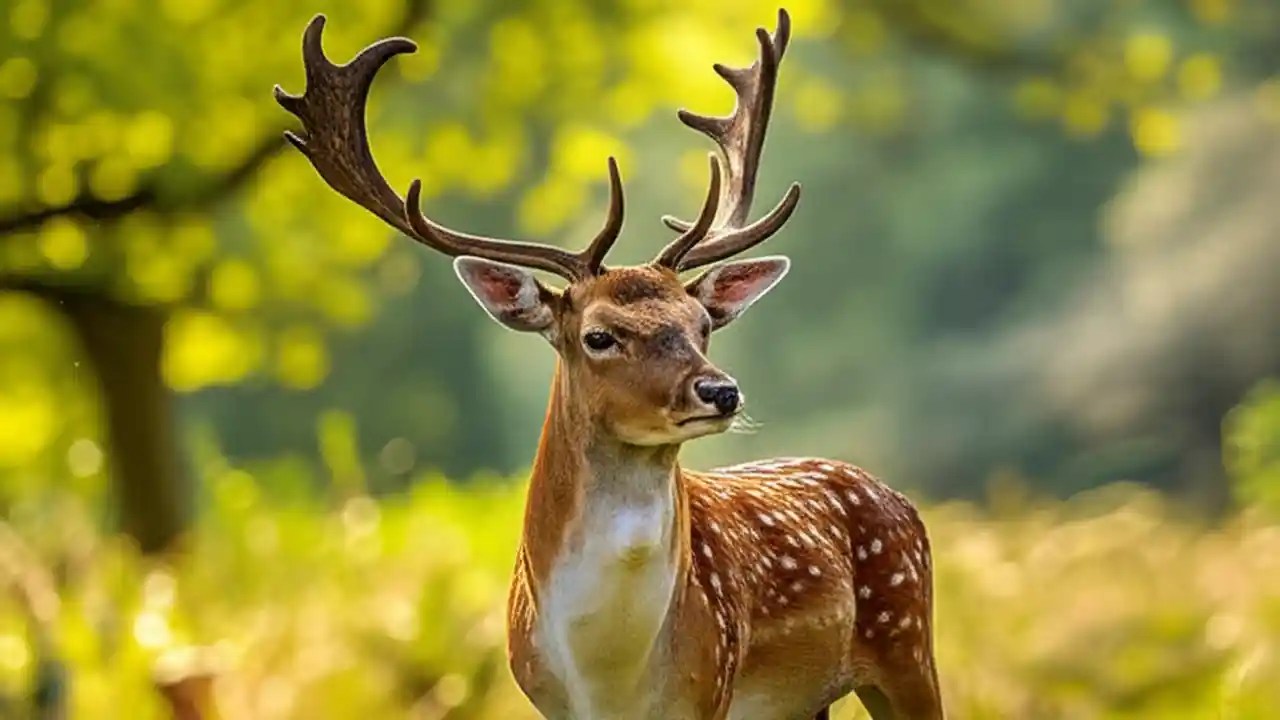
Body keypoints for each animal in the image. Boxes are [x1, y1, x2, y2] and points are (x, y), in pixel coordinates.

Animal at [275, 8, 942, 719]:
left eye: (702, 323)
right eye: (598, 336)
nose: (721, 391)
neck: (613, 675)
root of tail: (896, 497)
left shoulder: (710, 688)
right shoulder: (545, 697)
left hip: (908, 643)